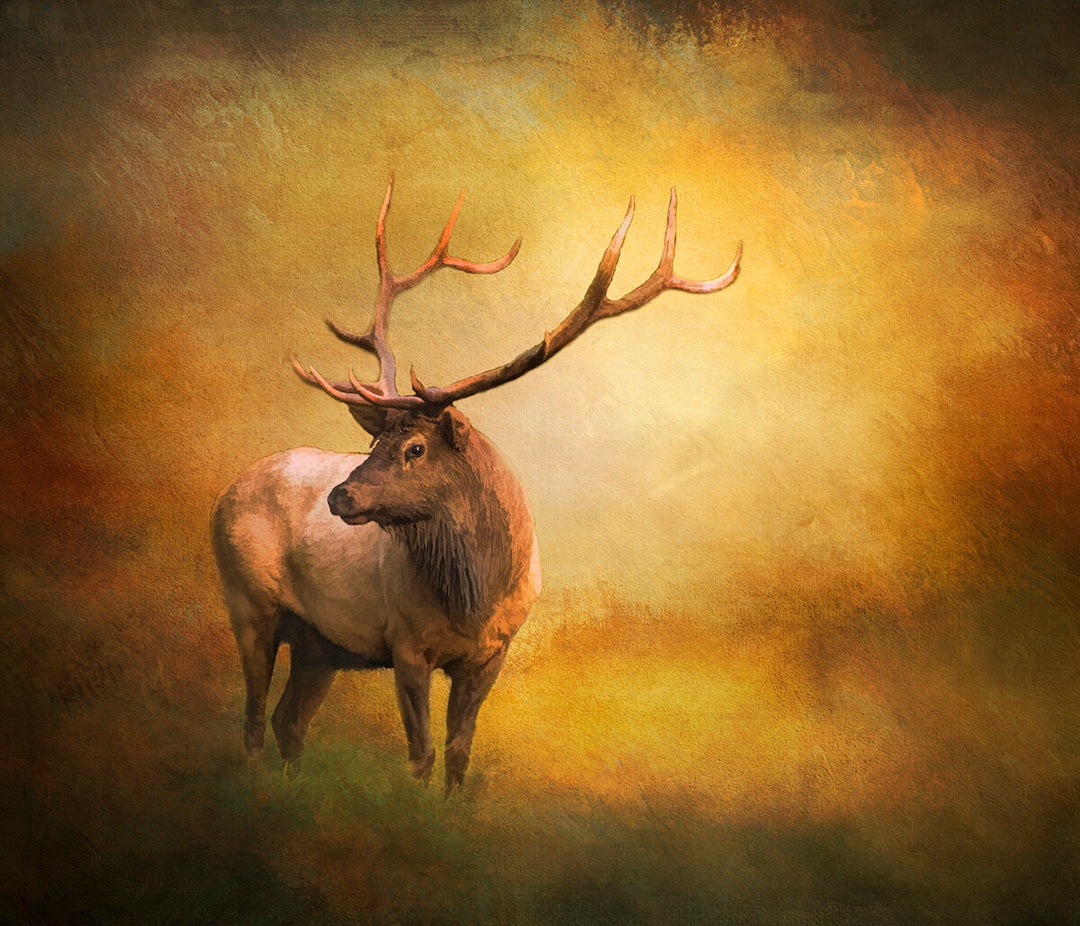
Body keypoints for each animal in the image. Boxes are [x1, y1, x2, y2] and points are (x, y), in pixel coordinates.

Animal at [211, 176, 741, 794]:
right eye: (374, 443)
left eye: (414, 448)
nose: (340, 495)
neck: (476, 599)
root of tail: (225, 493)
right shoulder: (406, 644)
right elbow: (420, 755)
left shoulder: (494, 652)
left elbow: (459, 751)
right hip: (248, 601)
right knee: (252, 719)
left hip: (321, 643)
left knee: (287, 722)